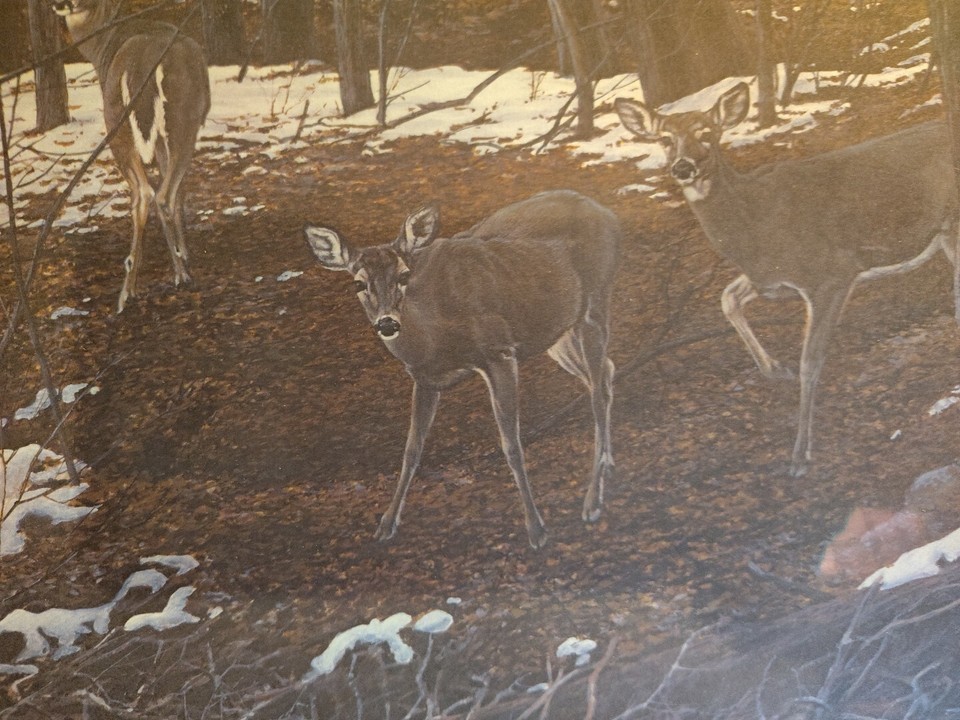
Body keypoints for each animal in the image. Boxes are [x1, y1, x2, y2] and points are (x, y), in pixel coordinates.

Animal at [52, 0, 210, 312]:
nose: (60, 4)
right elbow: (180, 191)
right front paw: (184, 254)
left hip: (116, 119)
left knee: (145, 194)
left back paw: (129, 292)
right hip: (182, 118)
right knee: (165, 192)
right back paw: (180, 272)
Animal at [304, 190, 621, 548]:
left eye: (403, 276)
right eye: (358, 284)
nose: (387, 323)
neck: (433, 333)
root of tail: (604, 211)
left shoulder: (500, 352)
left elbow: (511, 445)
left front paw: (536, 529)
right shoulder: (424, 377)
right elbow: (411, 449)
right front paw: (386, 524)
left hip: (595, 303)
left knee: (597, 392)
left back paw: (592, 502)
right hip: (557, 332)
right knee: (605, 373)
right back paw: (608, 464)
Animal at [615, 82, 958, 478]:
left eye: (708, 133)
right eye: (664, 138)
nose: (683, 167)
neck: (756, 222)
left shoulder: (831, 273)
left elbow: (810, 361)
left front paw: (800, 455)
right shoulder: (769, 277)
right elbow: (727, 297)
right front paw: (774, 369)